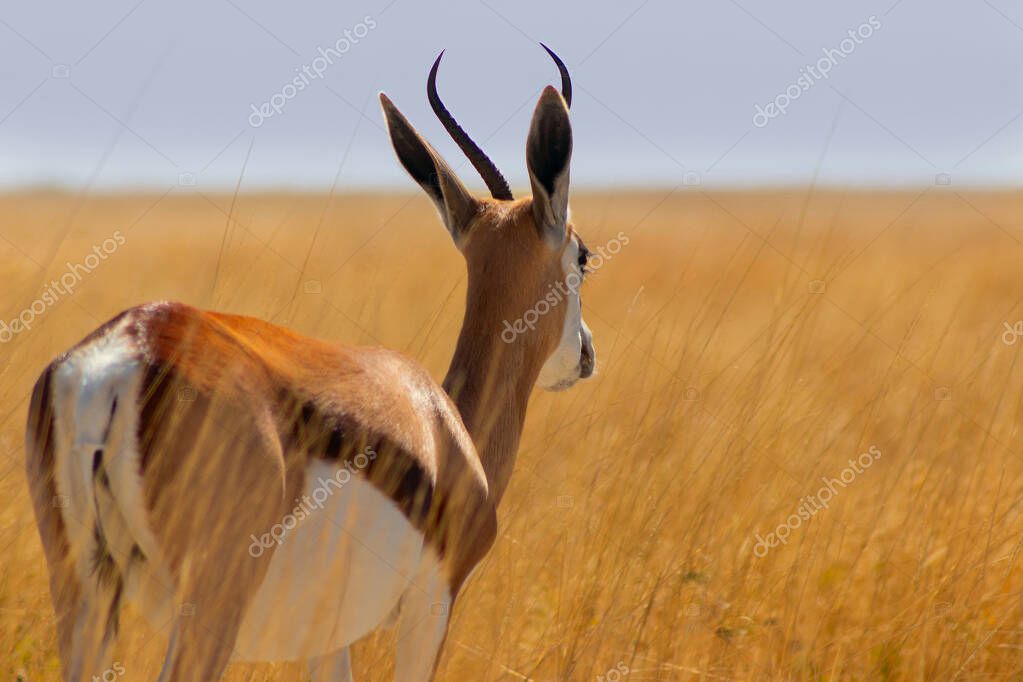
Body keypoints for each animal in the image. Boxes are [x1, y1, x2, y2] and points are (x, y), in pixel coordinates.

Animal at [25, 45, 595, 681]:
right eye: (584, 255)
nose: (586, 354)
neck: (444, 429)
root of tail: (125, 350)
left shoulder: (327, 639)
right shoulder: (432, 605)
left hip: (84, 594)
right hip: (209, 609)